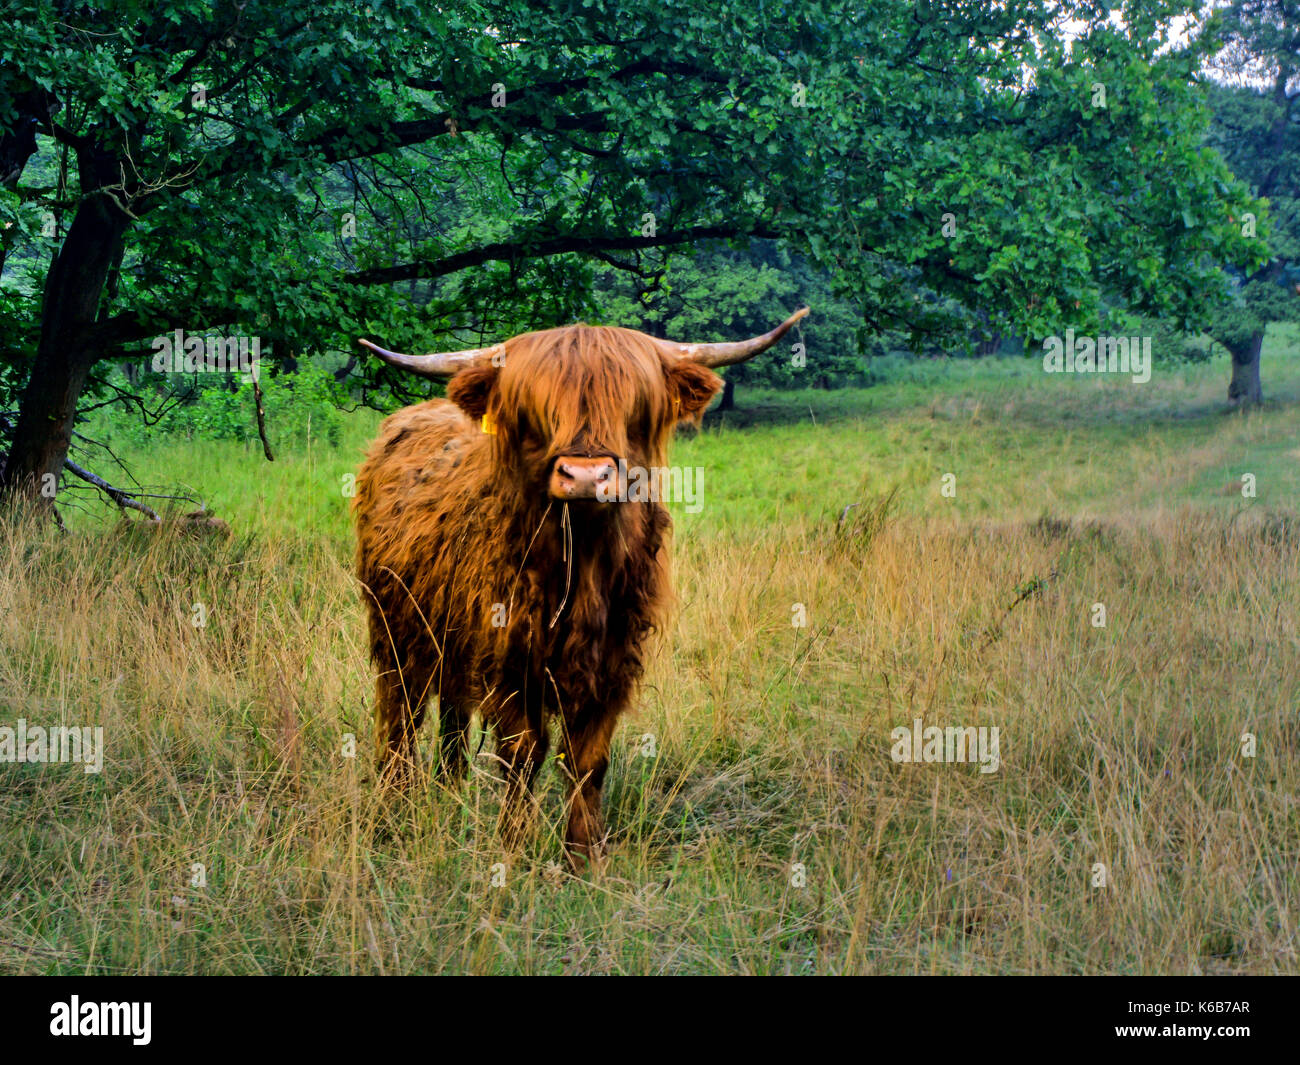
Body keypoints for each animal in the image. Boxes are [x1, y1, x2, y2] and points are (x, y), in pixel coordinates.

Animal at [353, 307, 809, 867]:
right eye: (536, 406)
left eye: (632, 403)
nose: (588, 476)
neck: (583, 559)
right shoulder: (511, 656)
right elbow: (522, 754)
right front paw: (515, 848)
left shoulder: (613, 657)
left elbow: (589, 760)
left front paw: (583, 857)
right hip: (394, 632)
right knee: (400, 715)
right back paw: (394, 805)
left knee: (453, 719)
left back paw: (448, 790)